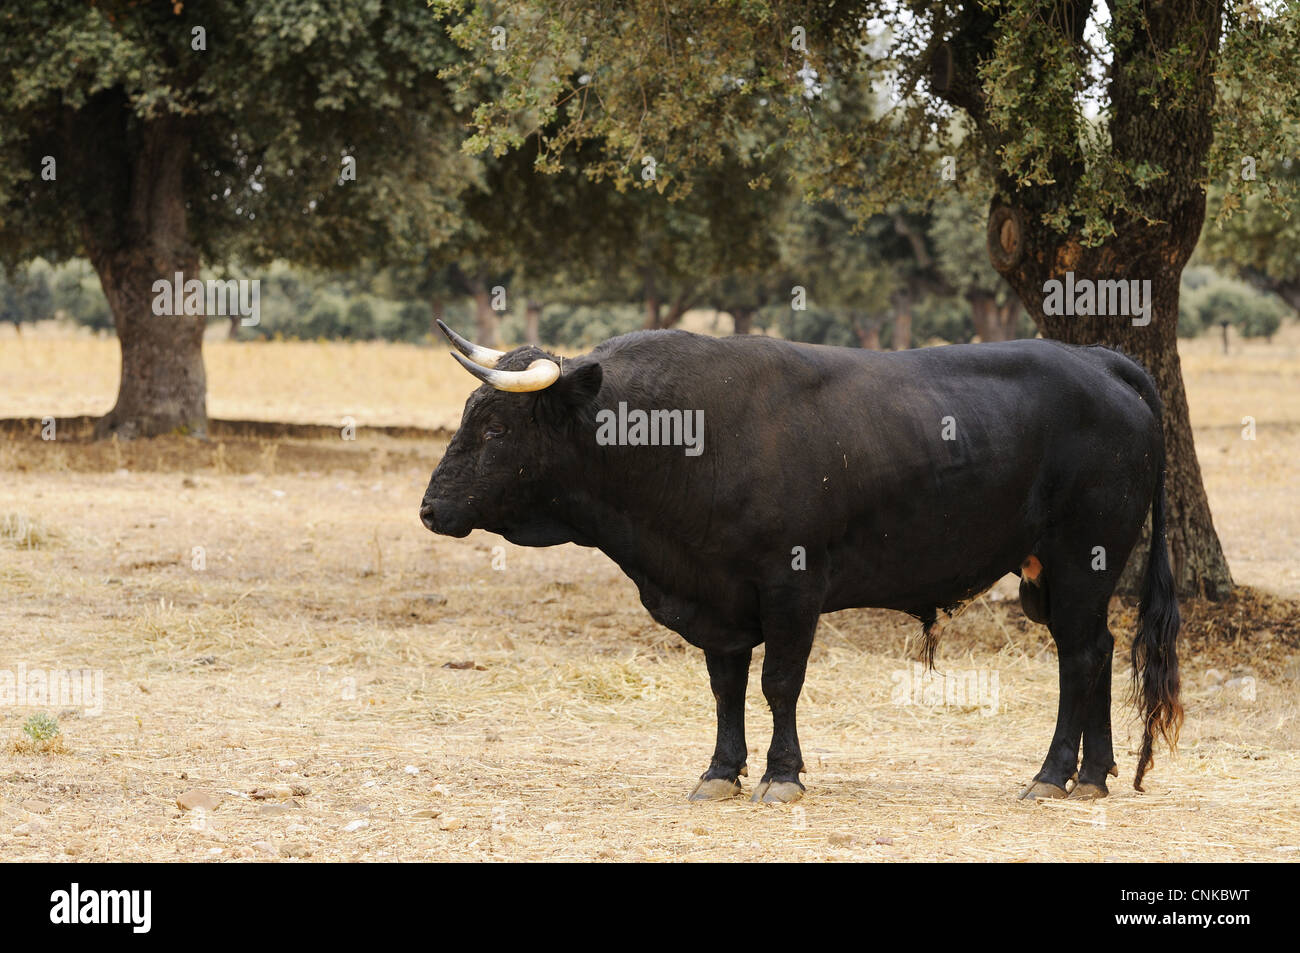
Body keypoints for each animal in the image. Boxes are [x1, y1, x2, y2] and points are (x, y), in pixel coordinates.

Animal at [420, 321, 1182, 804]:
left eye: (495, 428)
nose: (430, 507)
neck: (686, 434)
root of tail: (1101, 359)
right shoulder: (718, 598)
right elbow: (726, 687)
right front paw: (721, 771)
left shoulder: (792, 586)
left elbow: (779, 683)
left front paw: (781, 774)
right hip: (1052, 575)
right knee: (1095, 652)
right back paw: (1094, 774)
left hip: (1083, 560)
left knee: (1081, 658)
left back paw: (1052, 775)